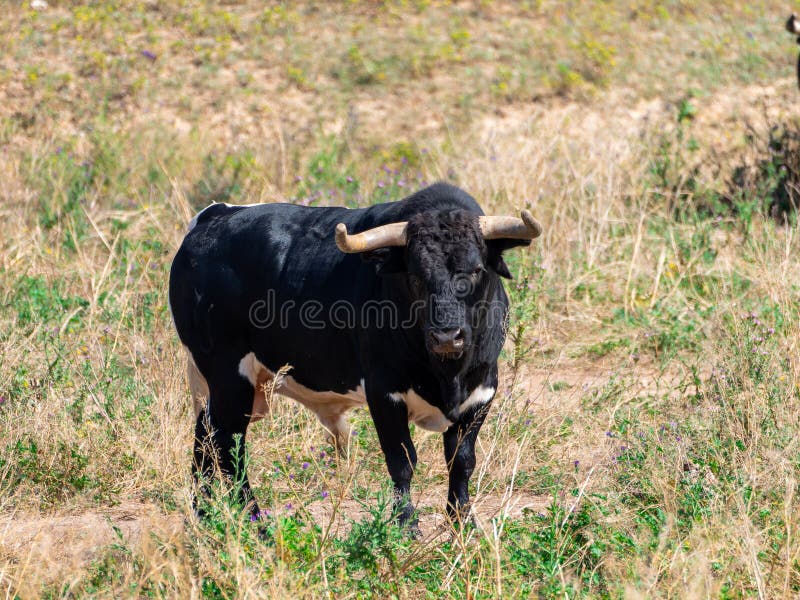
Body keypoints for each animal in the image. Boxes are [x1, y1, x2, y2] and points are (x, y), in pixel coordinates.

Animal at [168, 182, 542, 530]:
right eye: (415, 274)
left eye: (476, 269)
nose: (447, 336)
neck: (448, 375)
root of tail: (214, 216)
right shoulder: (383, 392)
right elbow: (402, 460)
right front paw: (406, 526)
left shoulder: (482, 393)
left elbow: (461, 461)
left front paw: (462, 524)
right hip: (228, 375)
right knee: (229, 446)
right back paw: (255, 522)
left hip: (216, 385)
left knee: (205, 436)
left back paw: (203, 516)